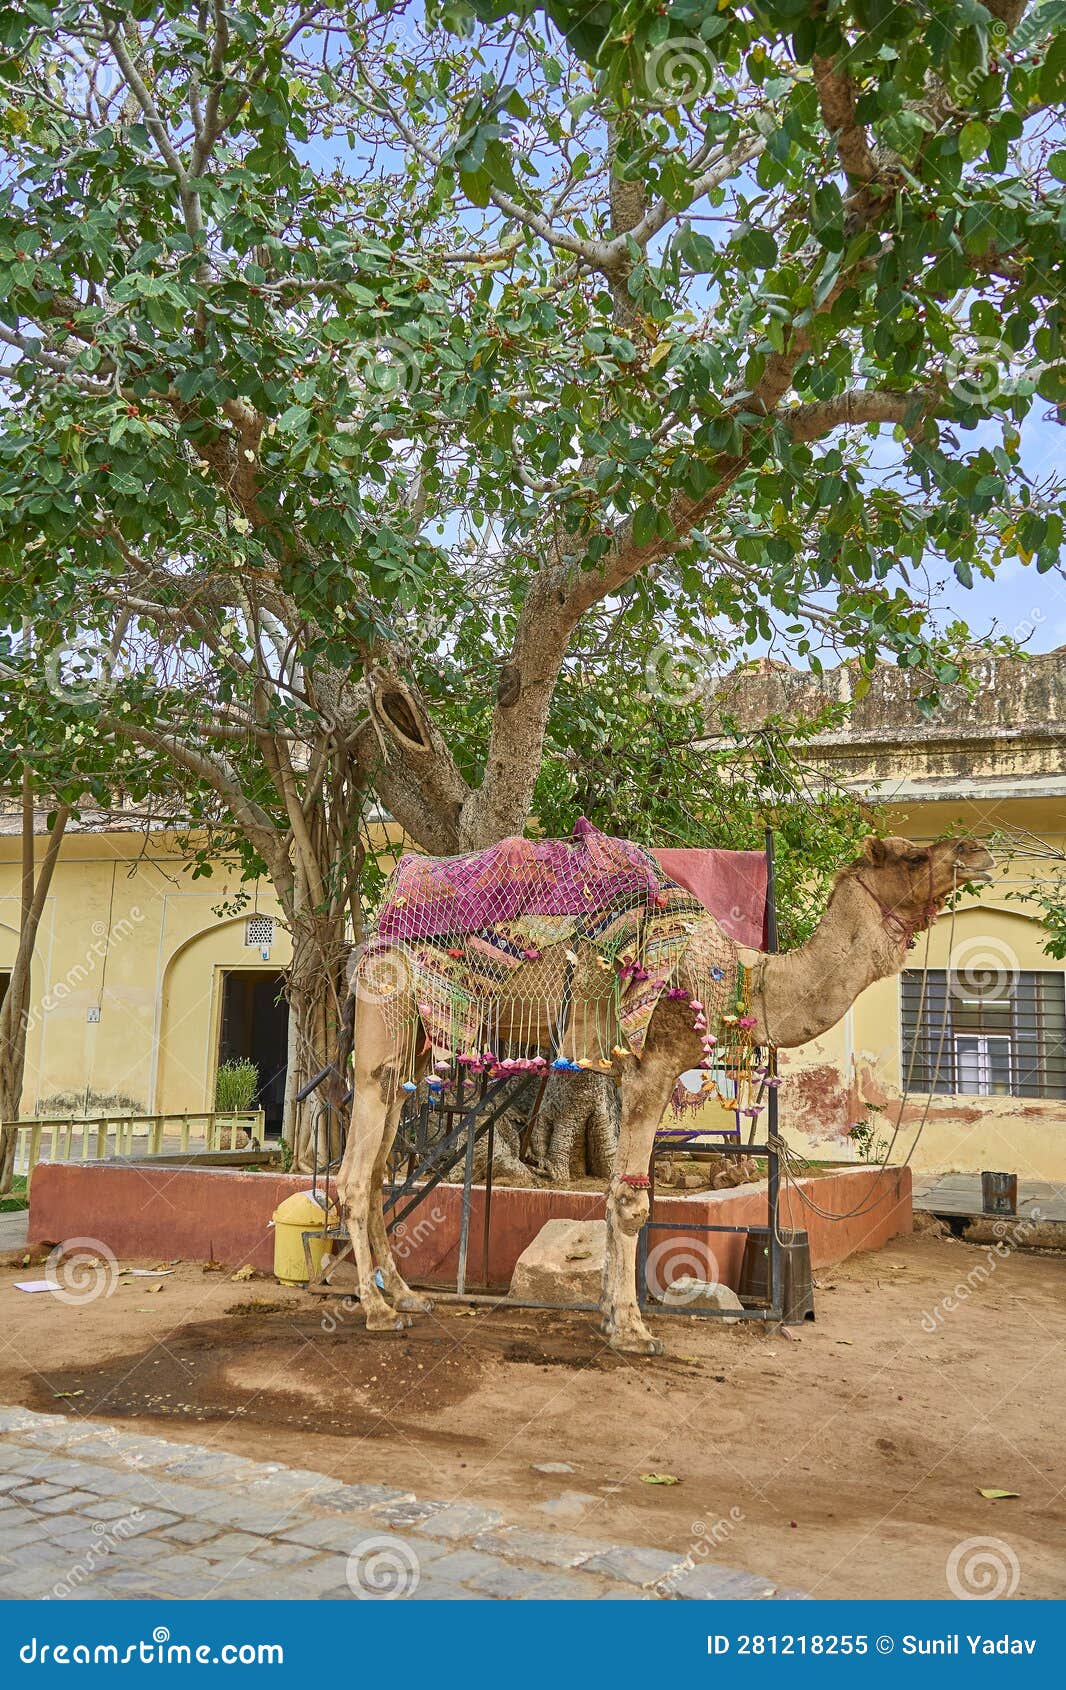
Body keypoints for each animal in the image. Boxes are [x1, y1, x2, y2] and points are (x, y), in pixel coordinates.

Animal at [336, 833, 993, 1354]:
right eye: (911, 856)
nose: (975, 850)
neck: (740, 976)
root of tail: (371, 934)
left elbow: (620, 1193)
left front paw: (610, 1316)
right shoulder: (652, 1061)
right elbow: (631, 1201)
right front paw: (632, 1330)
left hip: (415, 1044)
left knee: (379, 1166)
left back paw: (407, 1297)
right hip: (385, 1008)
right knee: (353, 1171)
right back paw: (377, 1312)